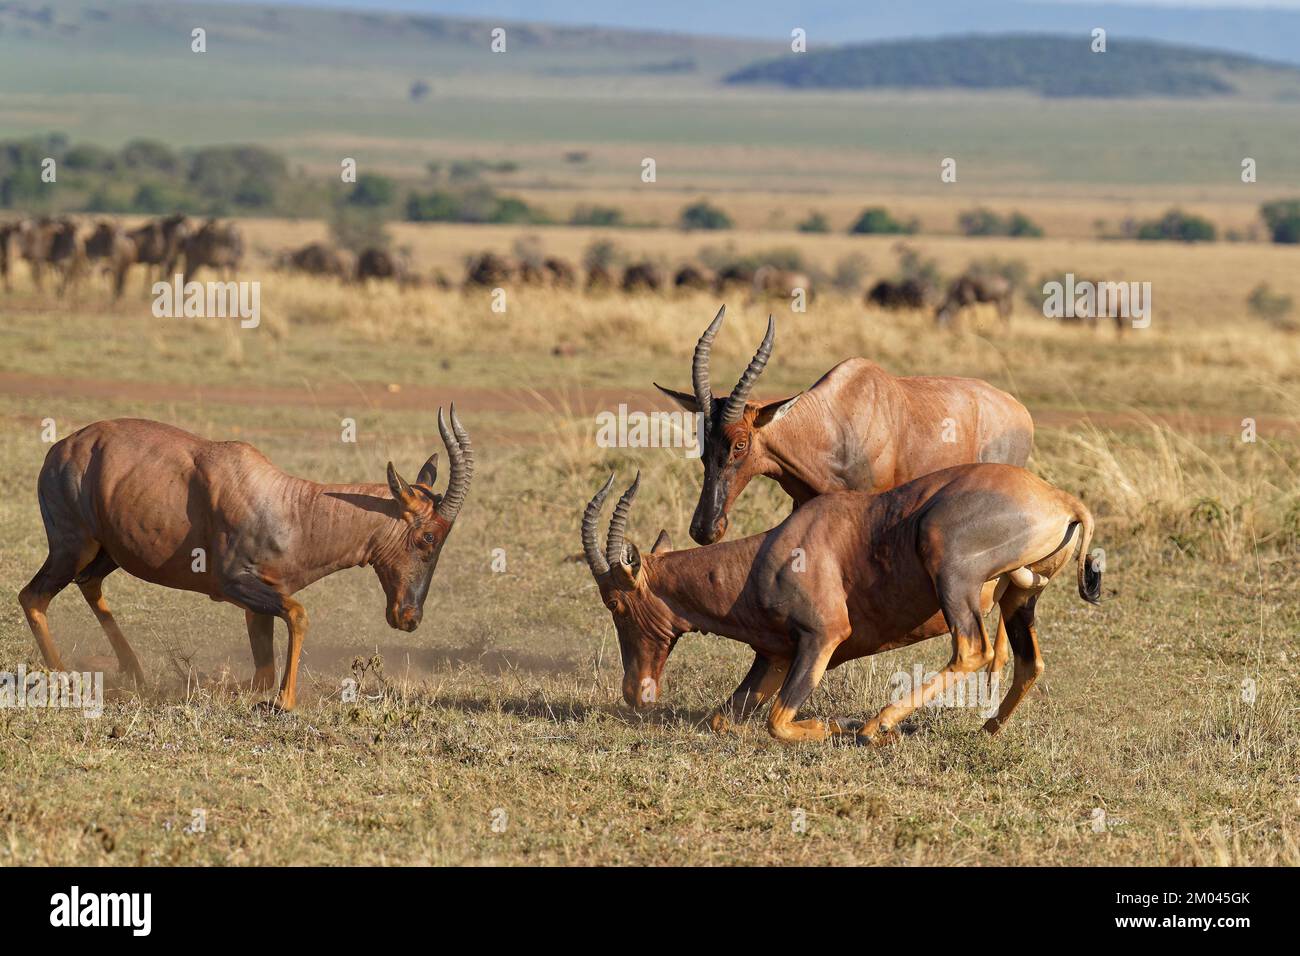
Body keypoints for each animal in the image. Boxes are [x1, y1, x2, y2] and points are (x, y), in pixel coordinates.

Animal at [19, 410, 474, 711]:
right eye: (428, 537)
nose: (409, 617)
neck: (294, 507)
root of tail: (59, 449)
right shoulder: (234, 585)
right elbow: (299, 616)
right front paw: (285, 701)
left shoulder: (260, 602)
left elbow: (262, 672)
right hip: (71, 545)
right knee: (32, 596)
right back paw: (65, 680)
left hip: (108, 552)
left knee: (88, 584)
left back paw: (135, 674)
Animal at [581, 468, 1100, 743]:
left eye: (615, 602)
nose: (635, 693)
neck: (772, 552)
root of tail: (1060, 499)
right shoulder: (775, 657)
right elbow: (722, 718)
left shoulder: (823, 639)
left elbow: (776, 722)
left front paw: (844, 724)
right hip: (1020, 597)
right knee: (1029, 662)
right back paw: (986, 729)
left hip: (955, 577)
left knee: (974, 650)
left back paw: (875, 726)